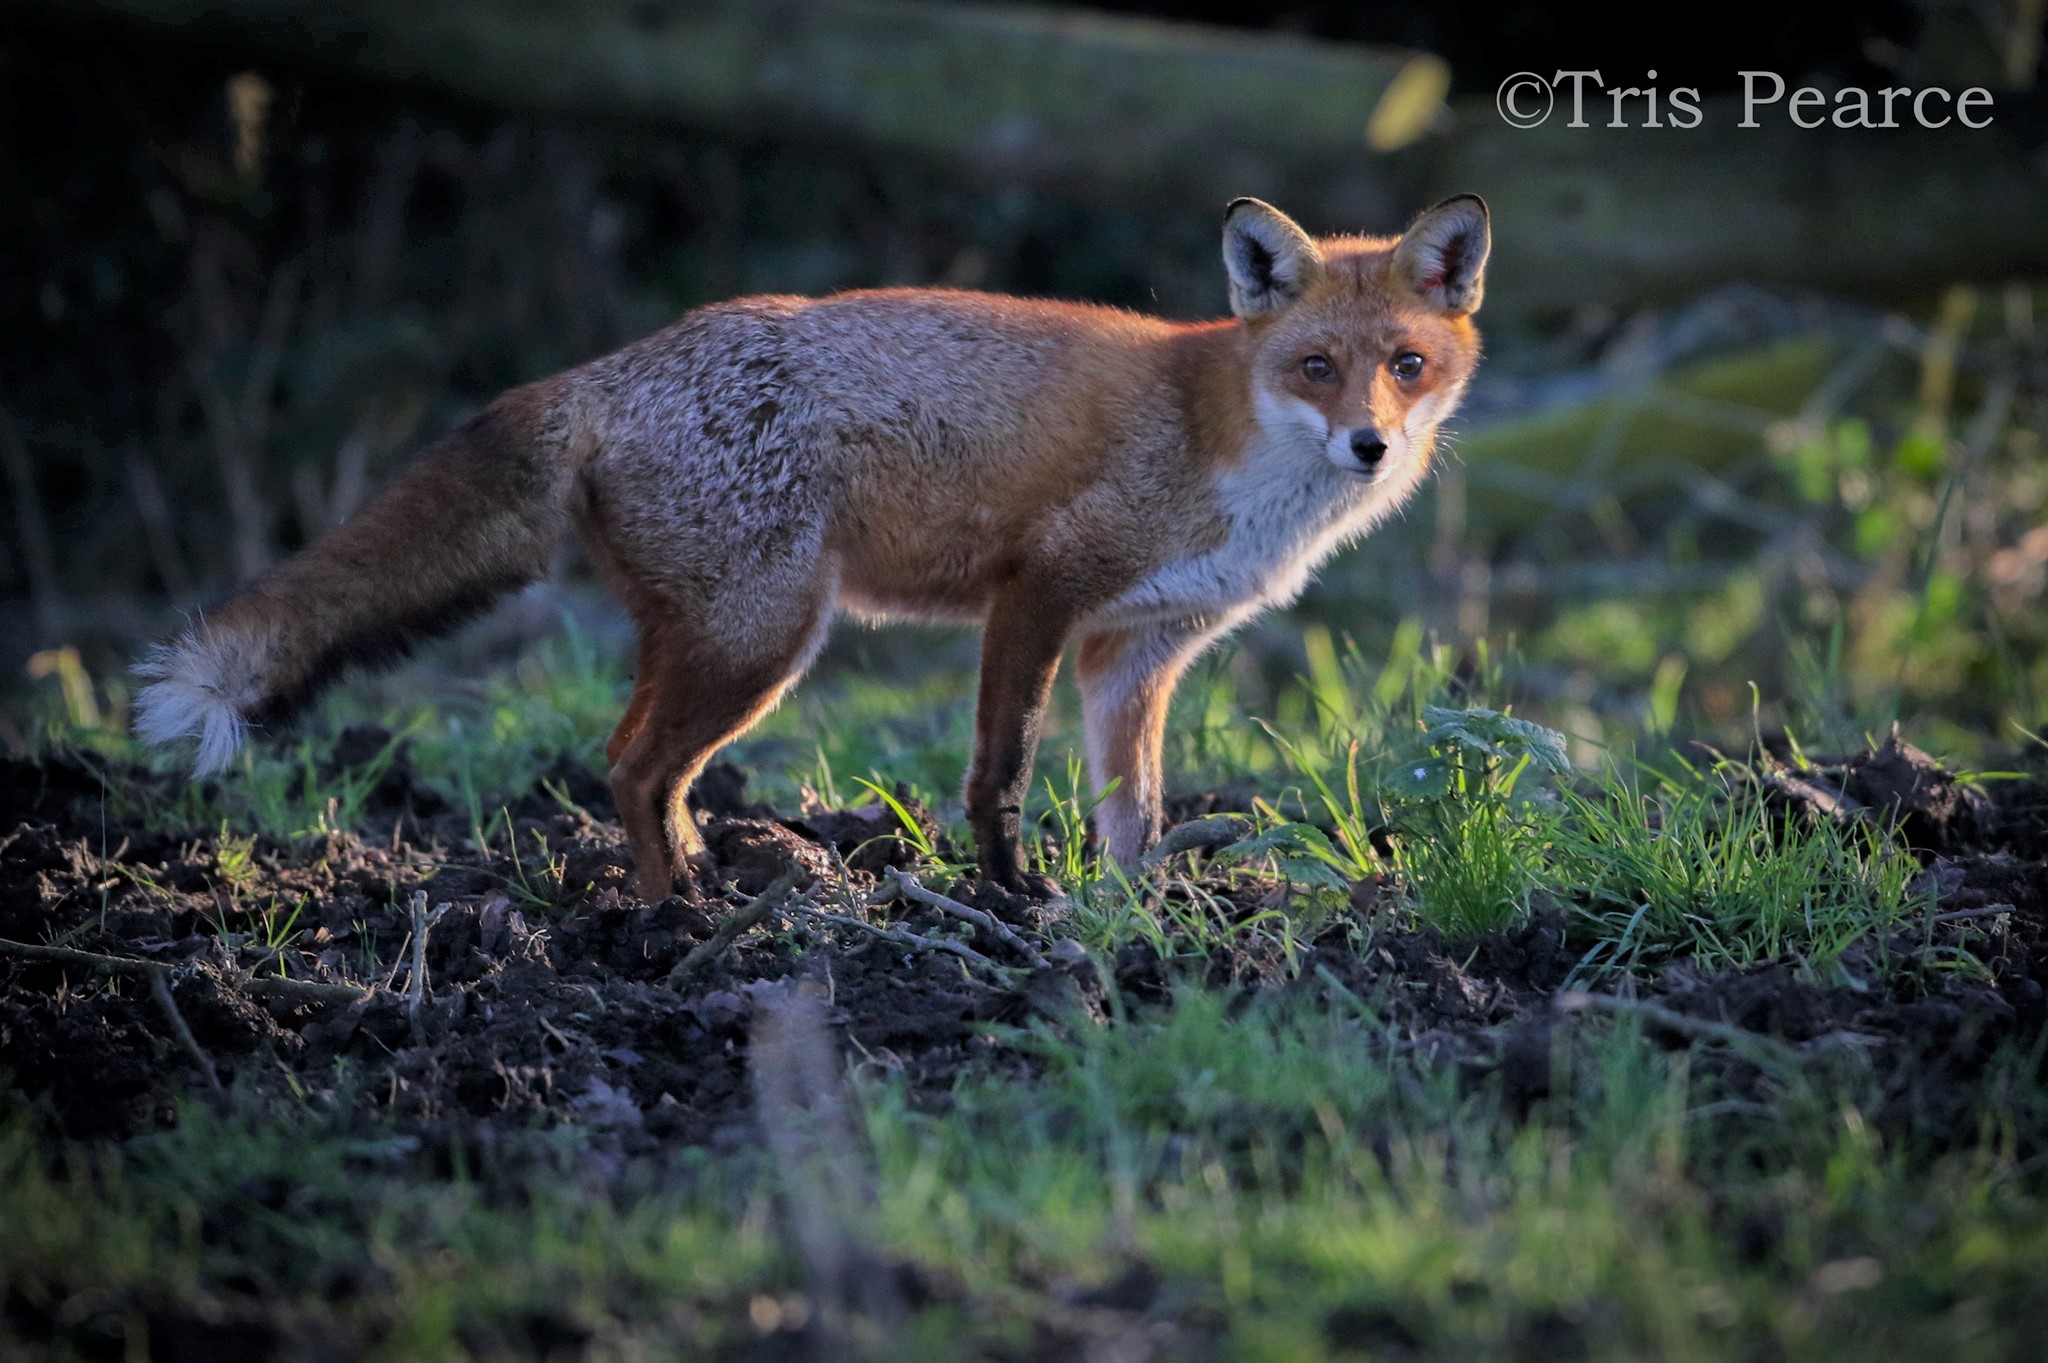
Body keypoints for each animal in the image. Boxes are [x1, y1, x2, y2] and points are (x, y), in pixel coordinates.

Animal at [134, 194, 1489, 901]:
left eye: (1404, 365)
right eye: (1313, 367)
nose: (1368, 446)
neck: (1221, 444)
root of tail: (606, 370)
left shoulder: (1136, 651)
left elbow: (1134, 805)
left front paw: (1138, 911)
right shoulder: (1040, 588)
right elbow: (1001, 771)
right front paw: (1015, 898)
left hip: (714, 633)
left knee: (635, 763)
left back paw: (702, 878)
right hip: (766, 636)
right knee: (631, 766)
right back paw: (681, 920)